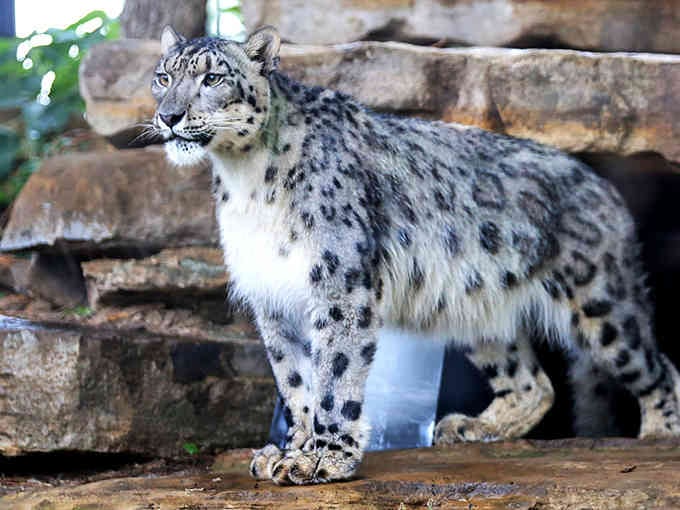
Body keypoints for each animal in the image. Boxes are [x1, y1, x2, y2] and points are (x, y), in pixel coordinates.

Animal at [150, 25, 680, 485]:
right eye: (162, 77)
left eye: (212, 78)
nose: (169, 116)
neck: (244, 180)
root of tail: (603, 185)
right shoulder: (272, 296)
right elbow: (296, 378)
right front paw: (293, 447)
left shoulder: (339, 284)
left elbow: (334, 375)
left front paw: (323, 459)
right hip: (479, 310)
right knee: (532, 383)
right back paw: (473, 428)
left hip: (602, 305)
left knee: (657, 367)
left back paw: (659, 435)